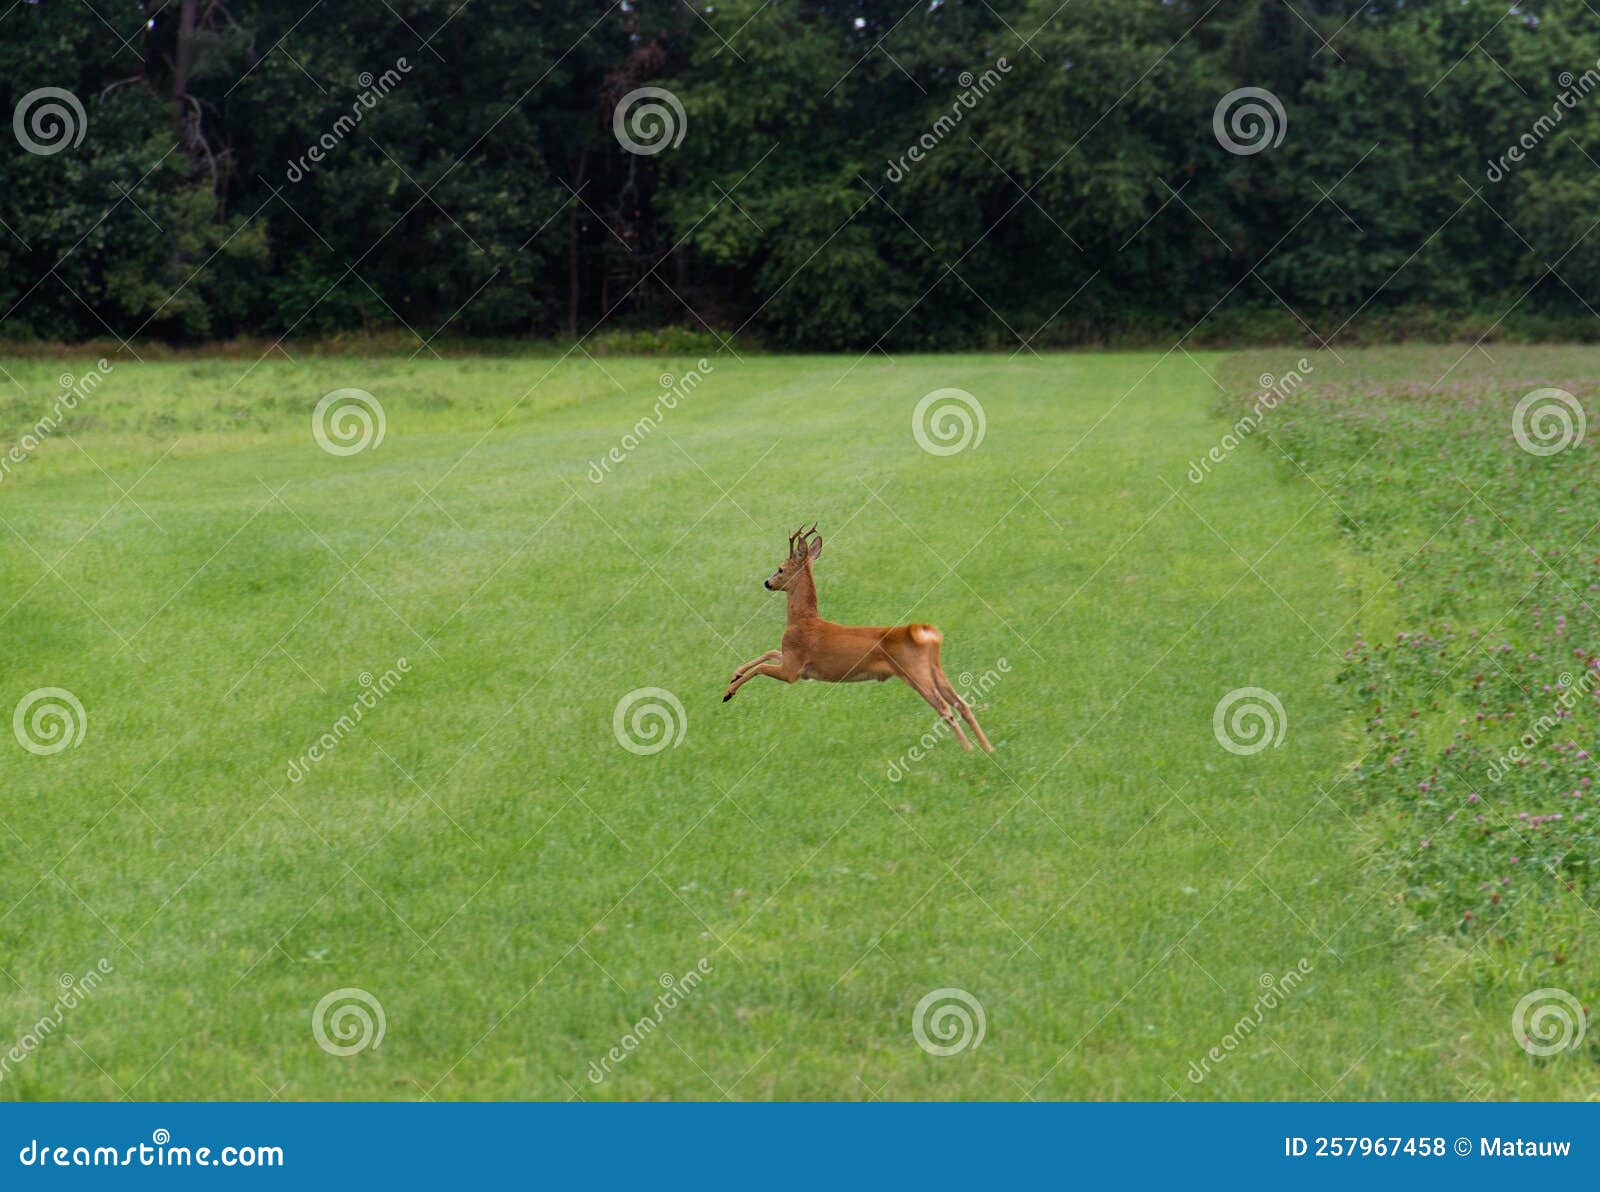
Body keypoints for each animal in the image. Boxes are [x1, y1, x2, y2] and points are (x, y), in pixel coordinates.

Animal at [722, 524, 994, 752]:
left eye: (780, 568)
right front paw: (734, 674)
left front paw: (729, 692)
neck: (802, 620)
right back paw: (987, 749)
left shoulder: (793, 670)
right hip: (934, 669)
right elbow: (769, 652)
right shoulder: (794, 661)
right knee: (961, 703)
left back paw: (968, 749)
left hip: (913, 670)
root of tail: (927, 634)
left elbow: (762, 667)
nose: (767, 582)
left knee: (945, 707)